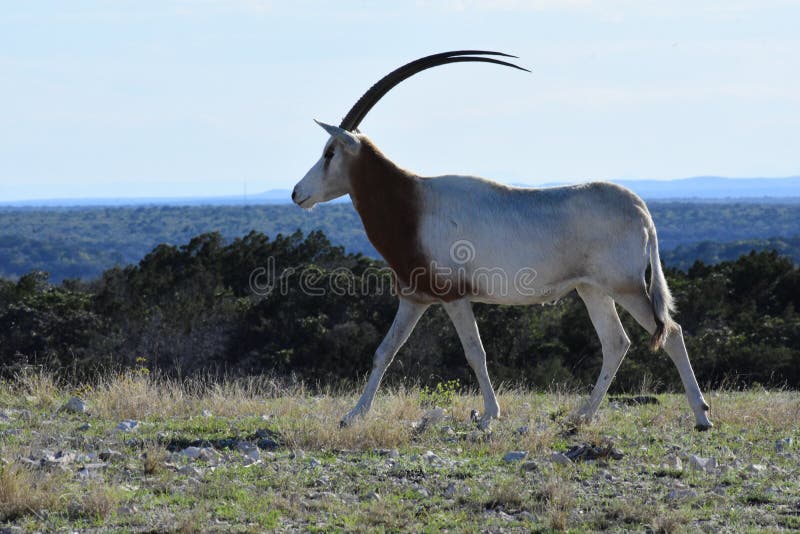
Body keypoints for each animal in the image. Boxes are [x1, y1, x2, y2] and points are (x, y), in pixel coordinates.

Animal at [292, 51, 712, 430]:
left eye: (329, 152)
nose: (297, 193)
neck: (411, 201)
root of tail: (641, 210)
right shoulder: (415, 298)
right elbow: (385, 352)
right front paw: (352, 416)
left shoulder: (454, 297)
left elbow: (474, 353)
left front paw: (489, 415)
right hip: (592, 290)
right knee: (616, 343)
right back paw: (581, 416)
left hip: (625, 287)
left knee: (670, 333)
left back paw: (702, 417)